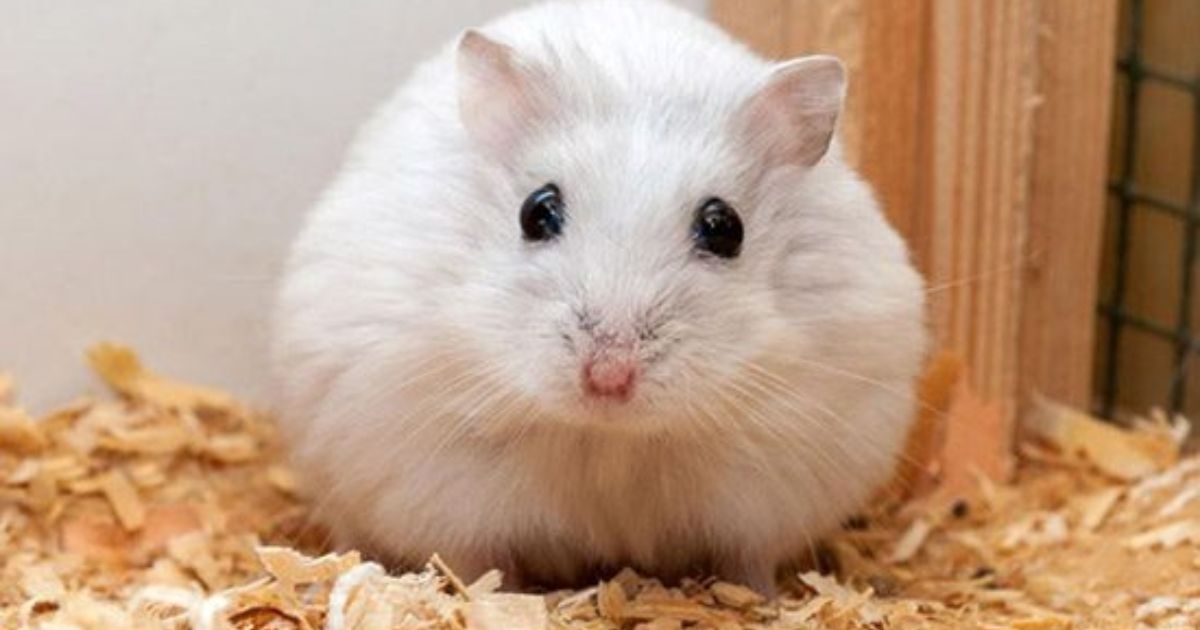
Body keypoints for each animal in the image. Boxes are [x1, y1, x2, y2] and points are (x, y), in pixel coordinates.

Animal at [271, 0, 927, 593]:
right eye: (536, 212)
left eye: (725, 227)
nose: (608, 377)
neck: (612, 436)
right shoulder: (439, 477)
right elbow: (481, 565)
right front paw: (499, 599)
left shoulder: (779, 480)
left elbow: (747, 564)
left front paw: (761, 600)